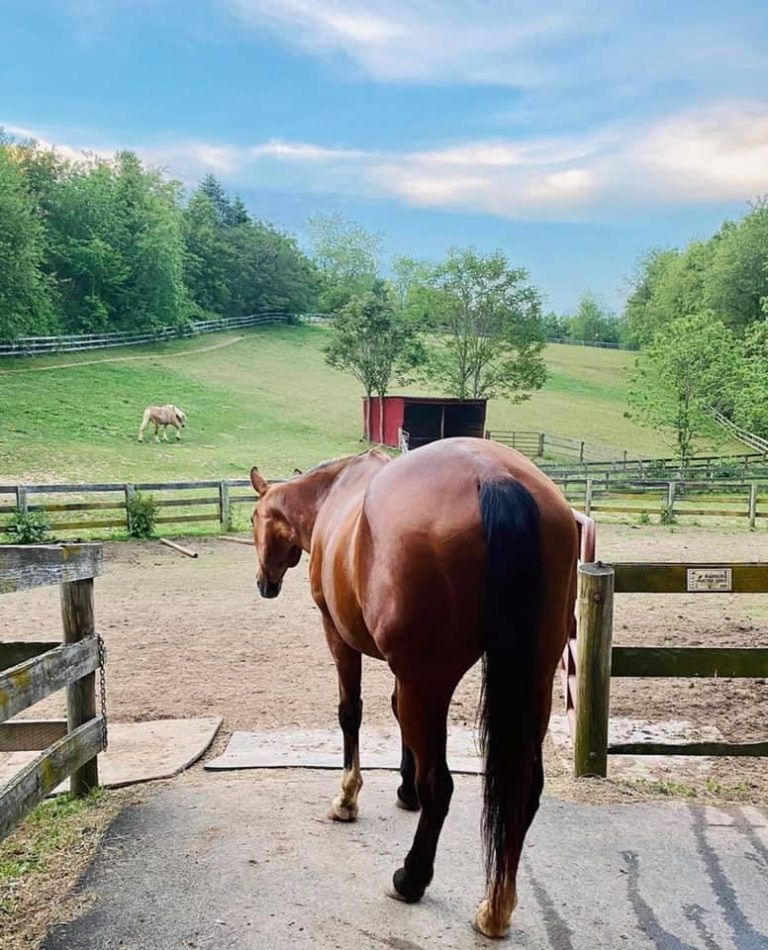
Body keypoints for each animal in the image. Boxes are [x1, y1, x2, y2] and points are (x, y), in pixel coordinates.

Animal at [248, 437, 578, 938]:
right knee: (524, 788)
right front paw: (405, 789)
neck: (332, 495)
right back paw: (495, 907)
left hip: (430, 681)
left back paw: (412, 877)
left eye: (254, 520)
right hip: (529, 684)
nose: (264, 583)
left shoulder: (341, 639)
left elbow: (352, 712)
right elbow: (395, 713)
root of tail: (492, 475)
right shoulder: (402, 672)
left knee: (440, 785)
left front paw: (347, 797)